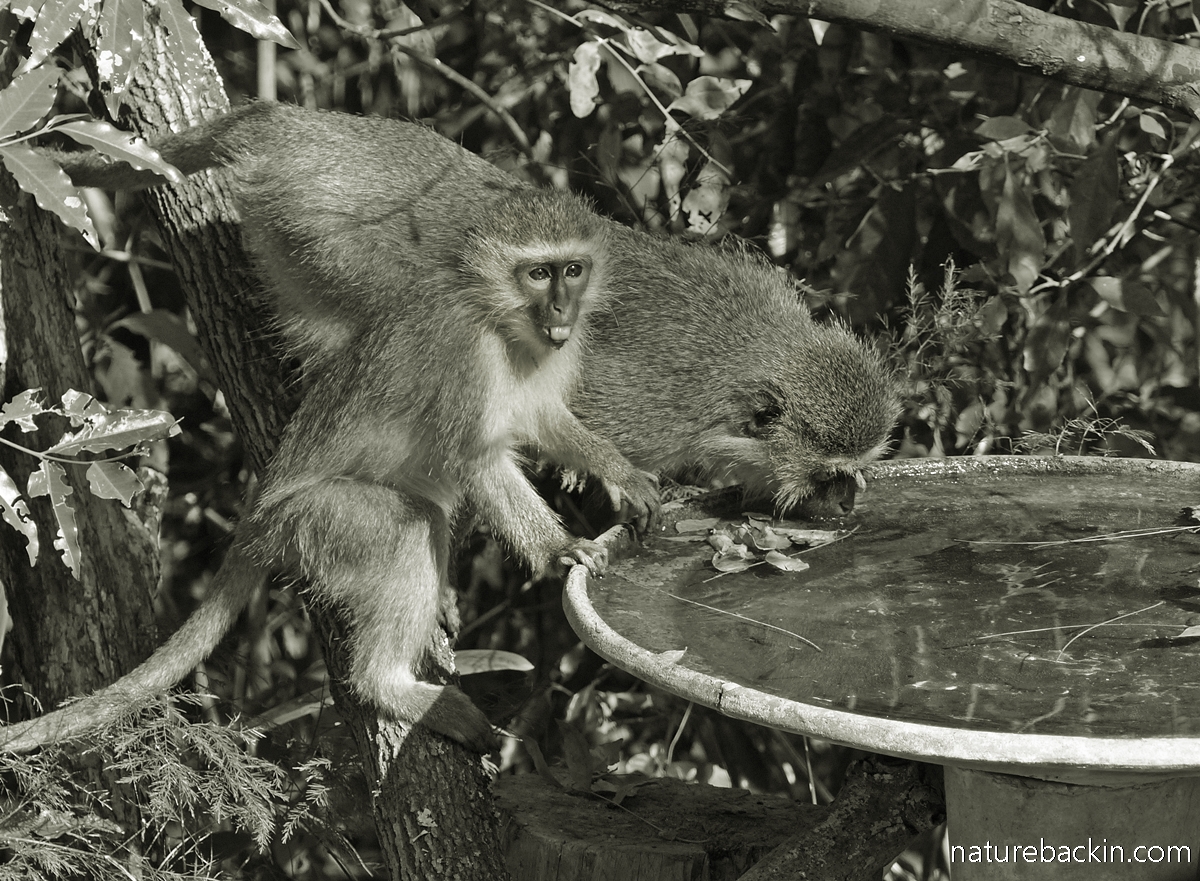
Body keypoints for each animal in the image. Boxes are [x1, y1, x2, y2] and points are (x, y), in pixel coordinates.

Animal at [3, 106, 661, 754]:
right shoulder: (465, 356)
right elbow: (478, 460)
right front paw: (559, 549)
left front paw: (622, 474)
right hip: (316, 521)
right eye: (538, 274)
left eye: (573, 270)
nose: (561, 310)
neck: (504, 326)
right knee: (411, 526)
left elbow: (549, 421)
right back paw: (388, 687)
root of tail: (260, 515)